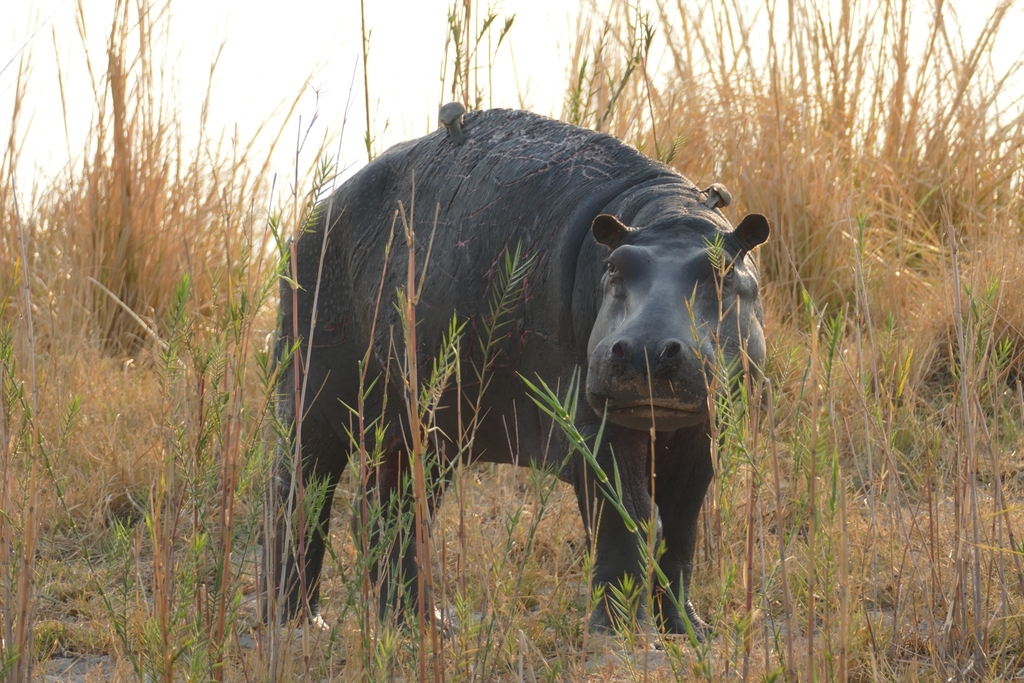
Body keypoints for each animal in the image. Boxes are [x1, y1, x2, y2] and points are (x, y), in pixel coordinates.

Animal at [263, 108, 769, 636]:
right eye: (614, 266)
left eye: (724, 271)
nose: (645, 350)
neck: (670, 217)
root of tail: (315, 215)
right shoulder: (592, 428)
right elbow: (627, 519)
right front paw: (616, 636)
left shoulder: (705, 433)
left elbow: (682, 527)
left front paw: (689, 631)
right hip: (313, 398)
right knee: (298, 494)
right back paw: (298, 624)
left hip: (424, 427)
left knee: (393, 512)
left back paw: (420, 626)